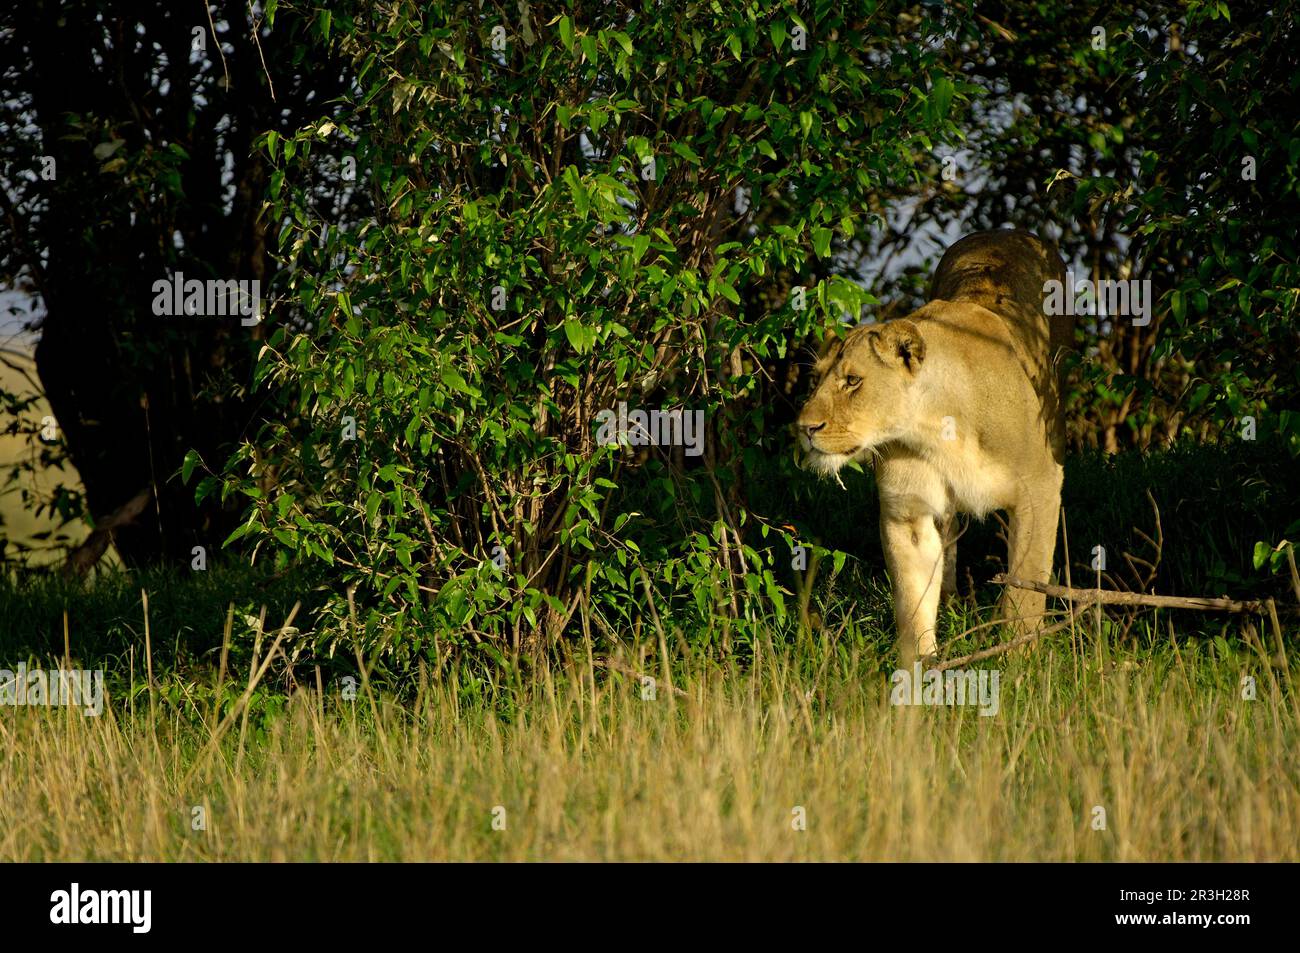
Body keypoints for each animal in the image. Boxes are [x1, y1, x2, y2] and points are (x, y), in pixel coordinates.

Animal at [796, 229, 1071, 665]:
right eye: (815, 380)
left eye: (853, 381)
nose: (805, 428)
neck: (935, 428)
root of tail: (1007, 231)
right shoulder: (908, 511)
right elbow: (912, 599)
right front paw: (920, 665)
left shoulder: (1039, 488)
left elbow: (1025, 588)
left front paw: (1020, 660)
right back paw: (952, 600)